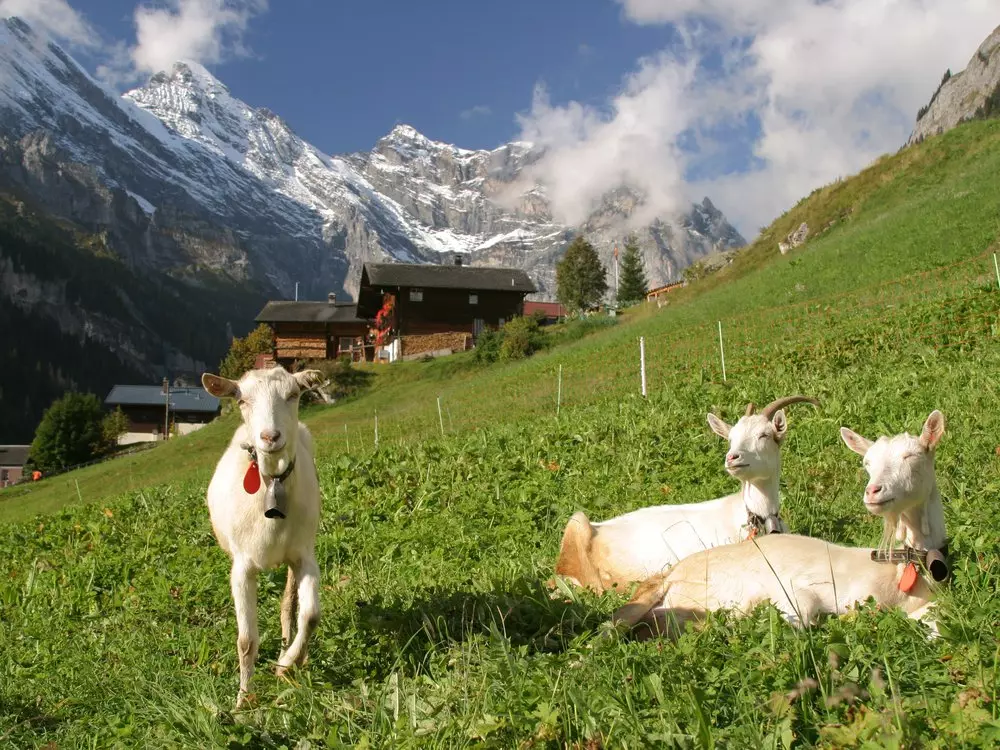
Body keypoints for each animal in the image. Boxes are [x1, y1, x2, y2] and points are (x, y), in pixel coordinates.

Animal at [201, 368, 326, 712]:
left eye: (293, 394)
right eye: (242, 399)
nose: (270, 437)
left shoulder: (305, 555)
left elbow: (310, 615)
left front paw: (286, 664)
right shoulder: (242, 567)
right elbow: (246, 640)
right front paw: (242, 700)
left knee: (289, 604)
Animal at [612, 412, 948, 640]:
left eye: (912, 456)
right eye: (867, 463)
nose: (873, 491)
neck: (895, 573)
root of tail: (671, 573)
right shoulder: (801, 590)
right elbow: (802, 613)